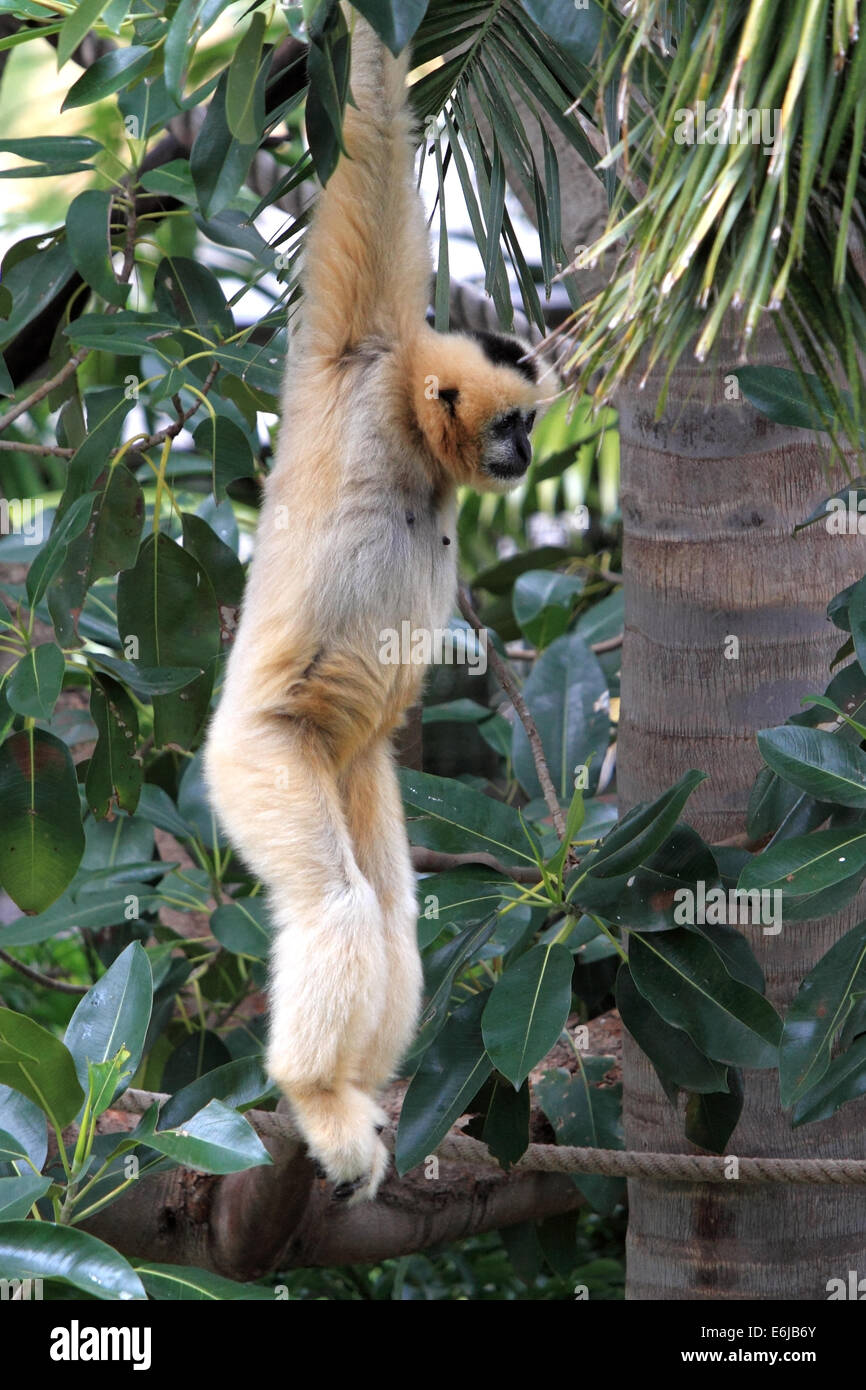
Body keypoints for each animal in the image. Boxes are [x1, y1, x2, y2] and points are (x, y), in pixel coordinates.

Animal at [203, 11, 541, 1203]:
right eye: (512, 422)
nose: (526, 448)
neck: (402, 426)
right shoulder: (351, 353)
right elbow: (372, 155)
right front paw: (350, 33)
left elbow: (382, 131)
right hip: (263, 754)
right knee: (343, 906)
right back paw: (316, 1097)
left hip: (354, 761)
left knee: (393, 914)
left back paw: (355, 1092)